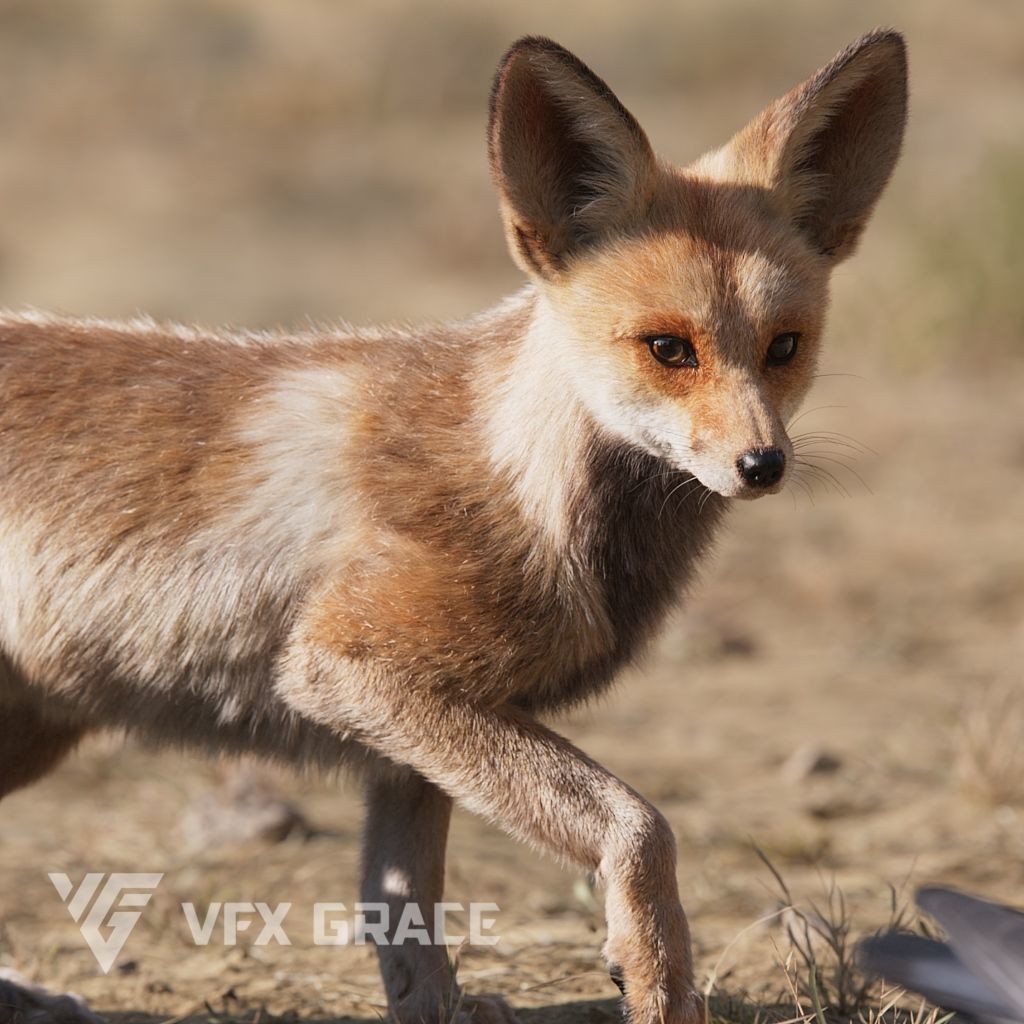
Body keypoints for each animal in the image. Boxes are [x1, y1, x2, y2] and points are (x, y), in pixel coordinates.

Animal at [0, 29, 907, 1024]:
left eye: (785, 348)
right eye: (670, 349)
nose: (763, 466)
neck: (522, 483)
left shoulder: (413, 731)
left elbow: (406, 917)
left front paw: (439, 1003)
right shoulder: (351, 662)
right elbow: (639, 828)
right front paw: (657, 984)